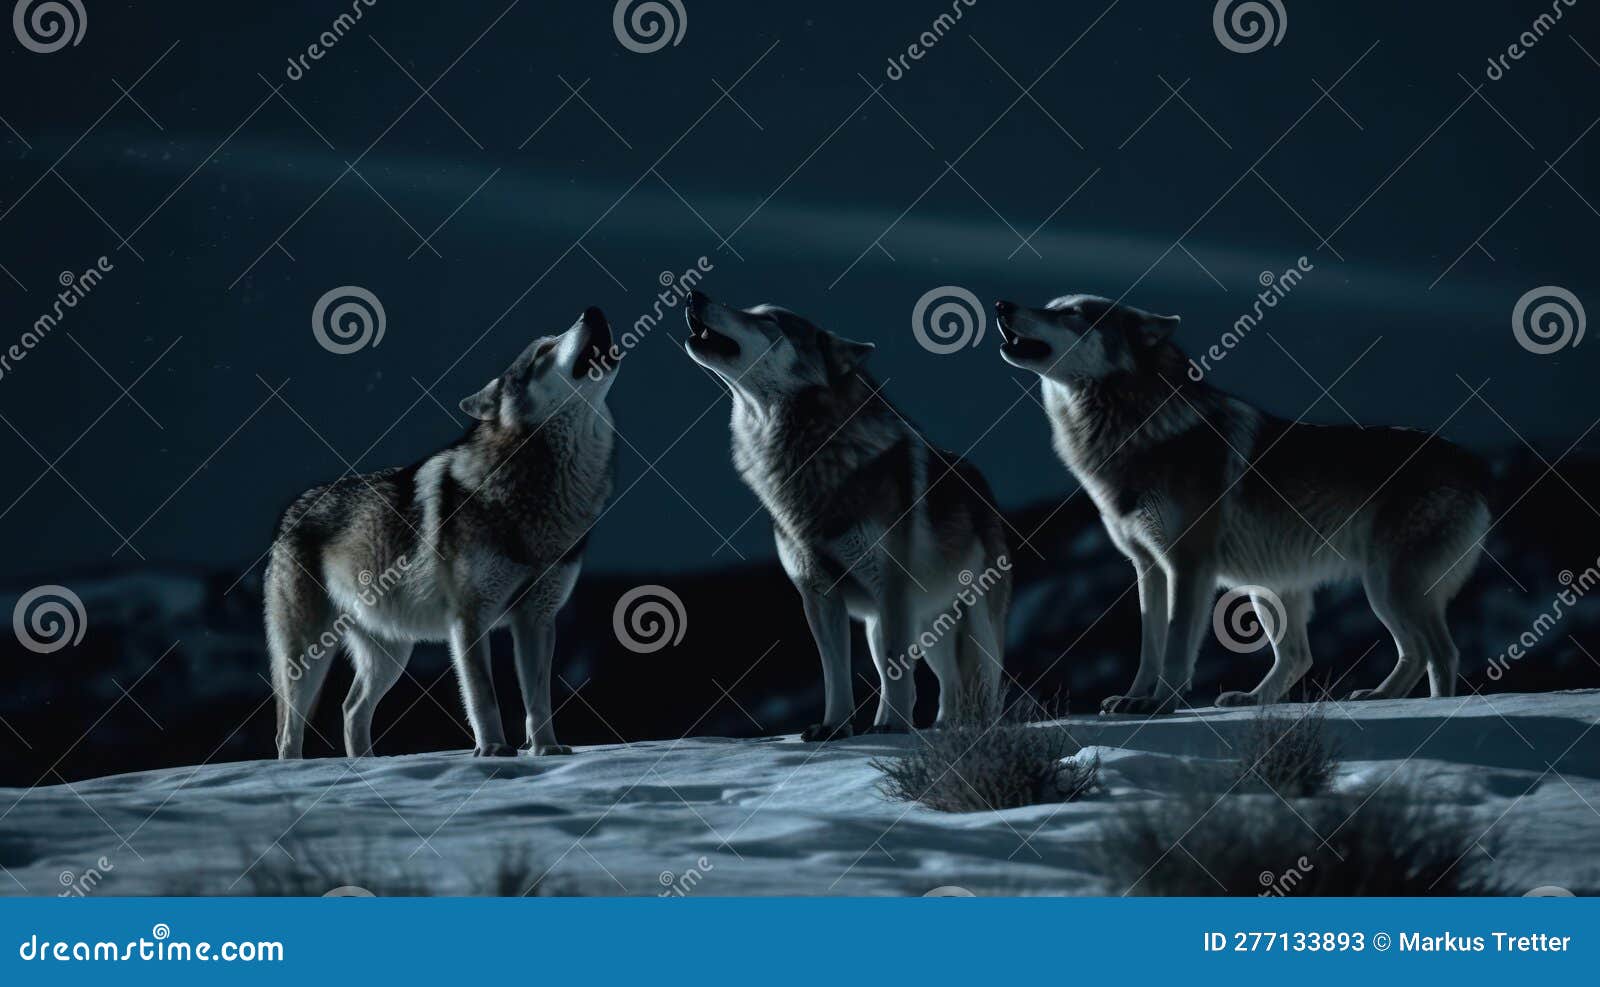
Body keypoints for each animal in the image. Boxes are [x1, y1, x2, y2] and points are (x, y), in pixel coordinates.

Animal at [267, 306, 618, 758]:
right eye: (544, 349)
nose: (593, 311)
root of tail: (293, 509)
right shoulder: (469, 619)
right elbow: (483, 695)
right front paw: (494, 752)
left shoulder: (537, 620)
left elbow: (538, 700)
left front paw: (546, 751)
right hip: (307, 655)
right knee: (288, 730)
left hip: (392, 652)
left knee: (350, 709)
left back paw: (367, 766)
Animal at [684, 290, 1011, 739]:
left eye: (768, 321)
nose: (694, 294)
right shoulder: (819, 594)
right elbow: (835, 673)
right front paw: (835, 728)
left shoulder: (892, 589)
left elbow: (895, 668)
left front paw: (893, 727)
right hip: (906, 626)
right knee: (947, 684)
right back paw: (940, 727)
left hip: (974, 622)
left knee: (982, 683)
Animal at [995, 294, 1490, 713]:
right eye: (1053, 305)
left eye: (1072, 313)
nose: (1002, 304)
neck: (1133, 430)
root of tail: (1468, 459)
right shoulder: (1148, 567)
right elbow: (1148, 649)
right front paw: (1135, 699)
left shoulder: (1188, 564)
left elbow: (1176, 643)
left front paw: (1160, 704)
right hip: (1279, 585)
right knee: (1306, 656)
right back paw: (1272, 699)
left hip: (1385, 584)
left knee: (1437, 651)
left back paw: (1429, 709)